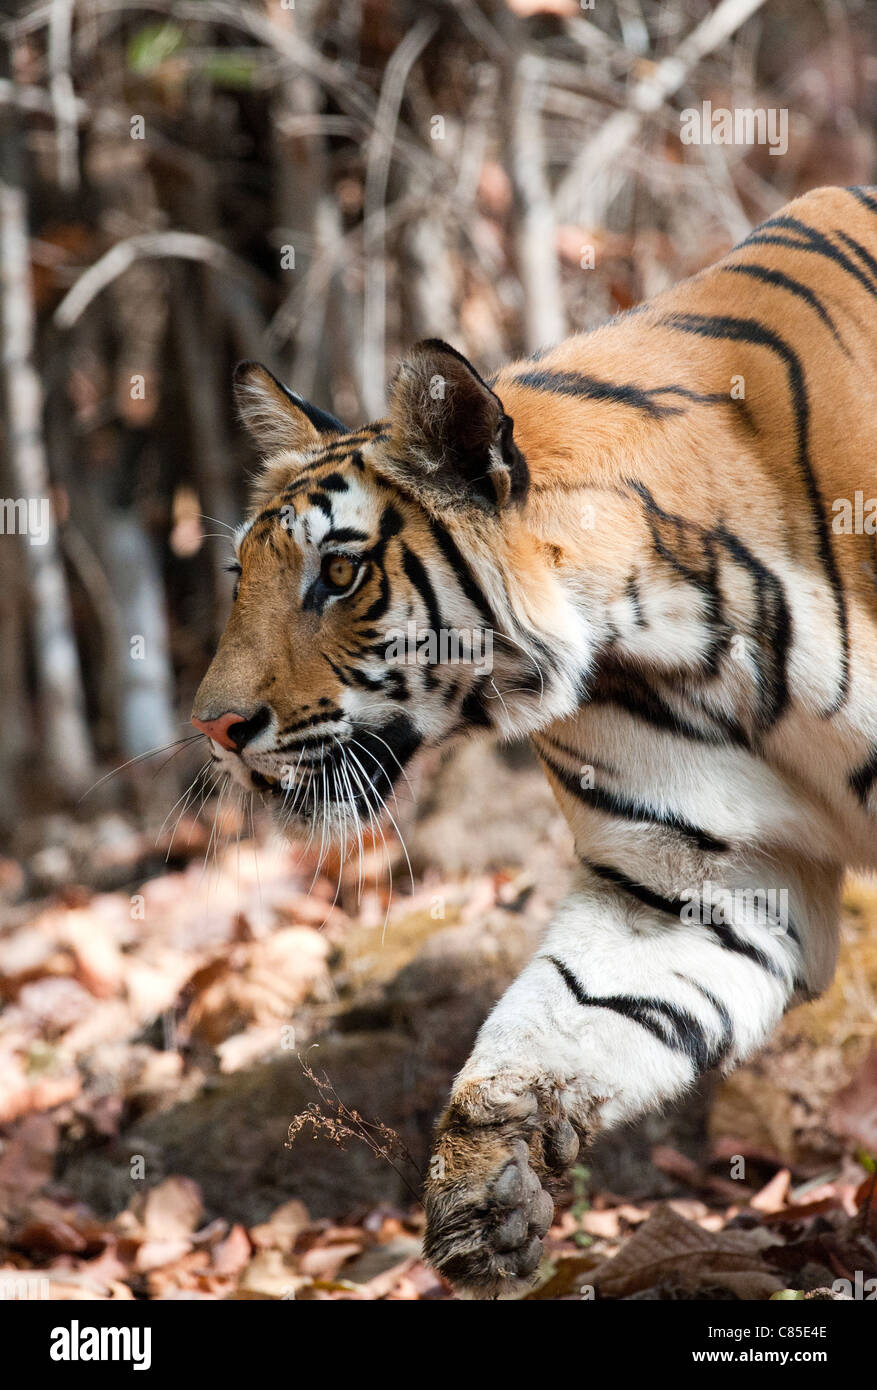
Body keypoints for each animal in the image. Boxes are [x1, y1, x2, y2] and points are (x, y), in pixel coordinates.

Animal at [191, 184, 877, 1298]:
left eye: (338, 574)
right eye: (239, 575)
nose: (212, 725)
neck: (659, 636)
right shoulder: (701, 885)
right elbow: (561, 1018)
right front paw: (484, 1198)